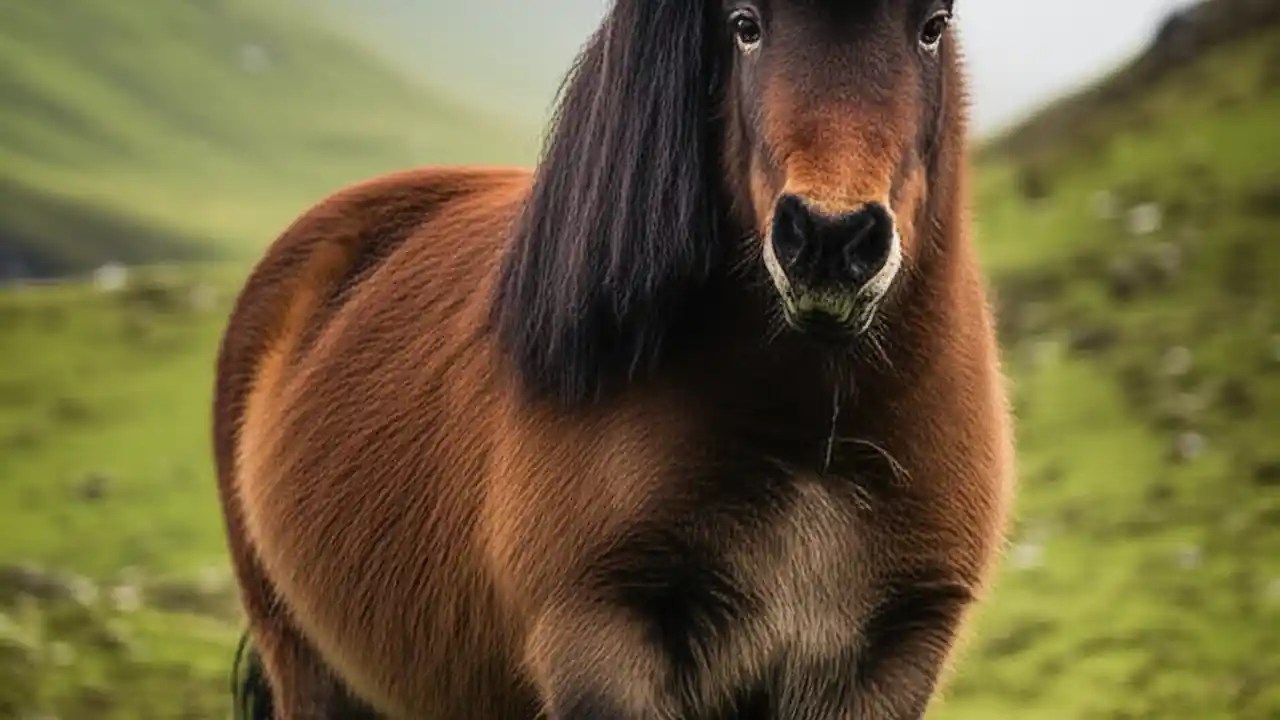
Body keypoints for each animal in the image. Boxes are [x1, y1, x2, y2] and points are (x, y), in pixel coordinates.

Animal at [213, 0, 1015, 717]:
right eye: (745, 25)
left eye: (933, 24)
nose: (828, 239)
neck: (811, 435)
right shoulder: (597, 641)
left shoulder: (894, 658)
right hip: (309, 669)